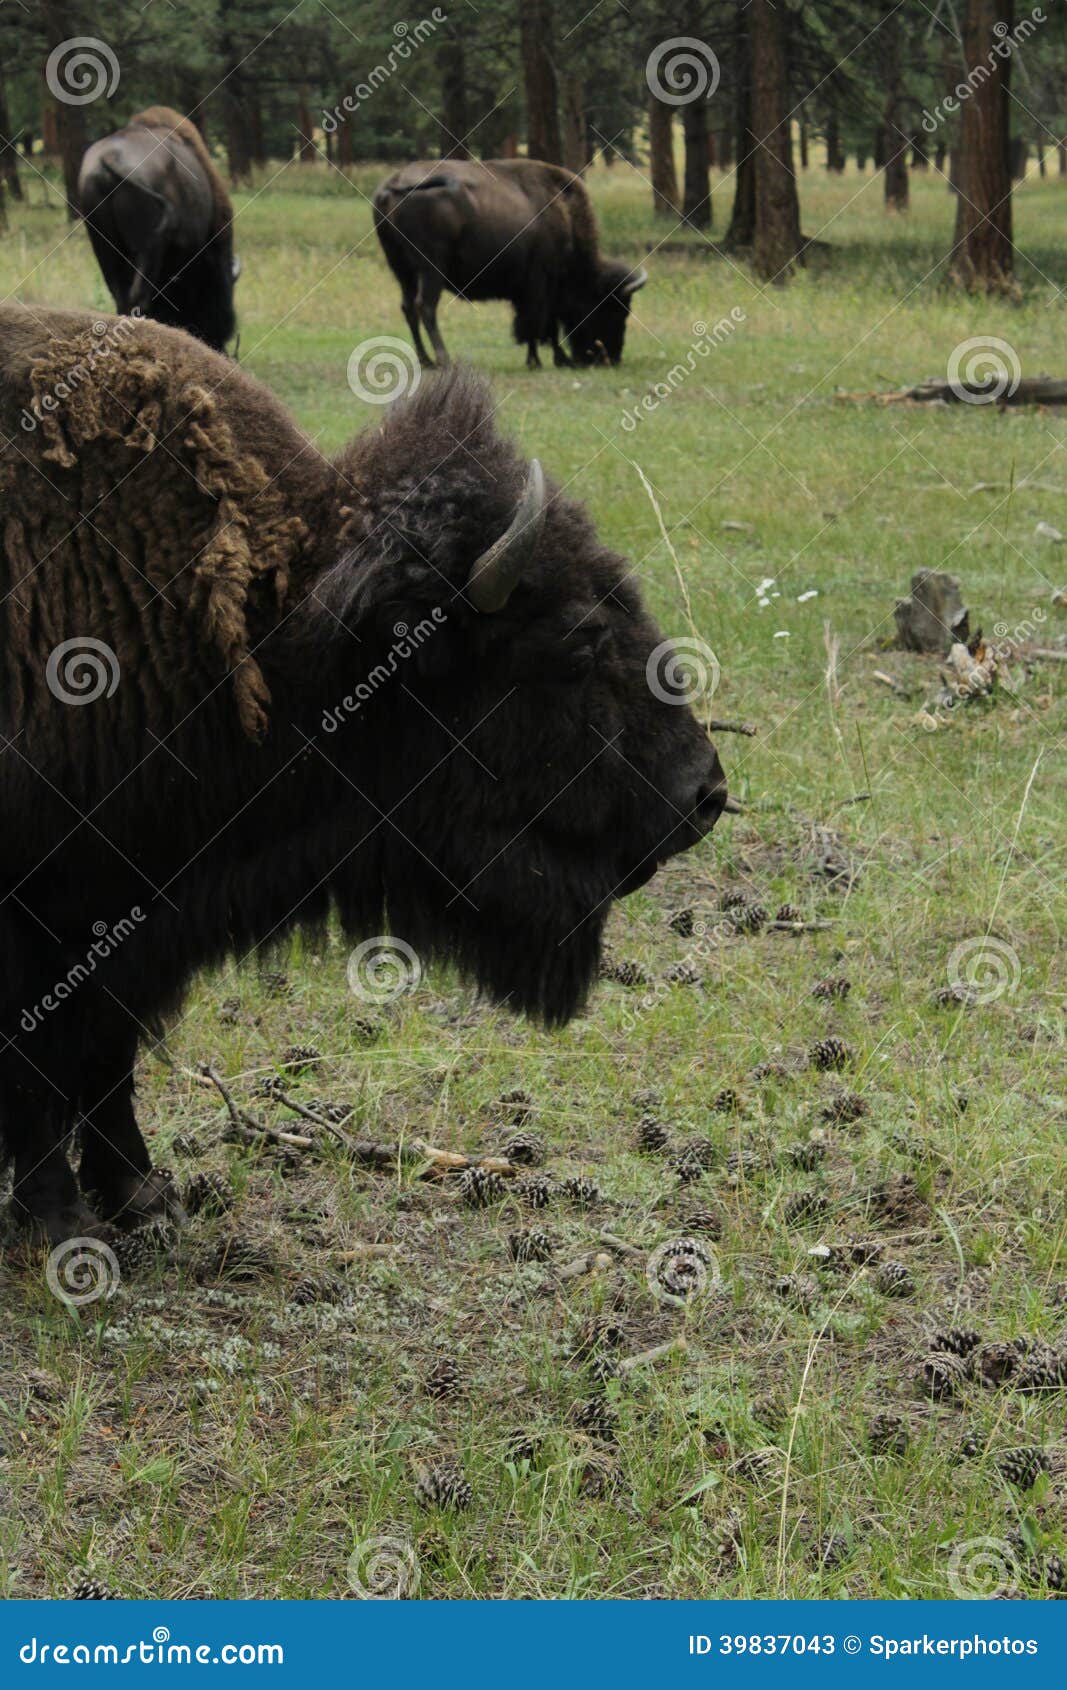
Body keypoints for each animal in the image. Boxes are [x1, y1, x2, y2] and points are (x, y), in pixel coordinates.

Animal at [0, 306, 727, 1245]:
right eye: (575, 641)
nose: (703, 793)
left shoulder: (126, 914)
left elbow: (105, 1049)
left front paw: (141, 1196)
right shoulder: (38, 920)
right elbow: (38, 1063)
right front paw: (61, 1224)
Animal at [78, 106, 239, 352]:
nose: (217, 344)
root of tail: (111, 157)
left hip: (105, 249)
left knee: (122, 297)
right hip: (148, 253)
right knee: (139, 299)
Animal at [373, 158, 647, 370]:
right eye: (614, 309)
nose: (610, 358)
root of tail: (394, 183)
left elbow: (537, 323)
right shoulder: (540, 285)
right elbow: (539, 324)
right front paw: (544, 360)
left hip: (403, 270)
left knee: (409, 307)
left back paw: (426, 360)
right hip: (431, 270)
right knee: (426, 307)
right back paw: (444, 359)